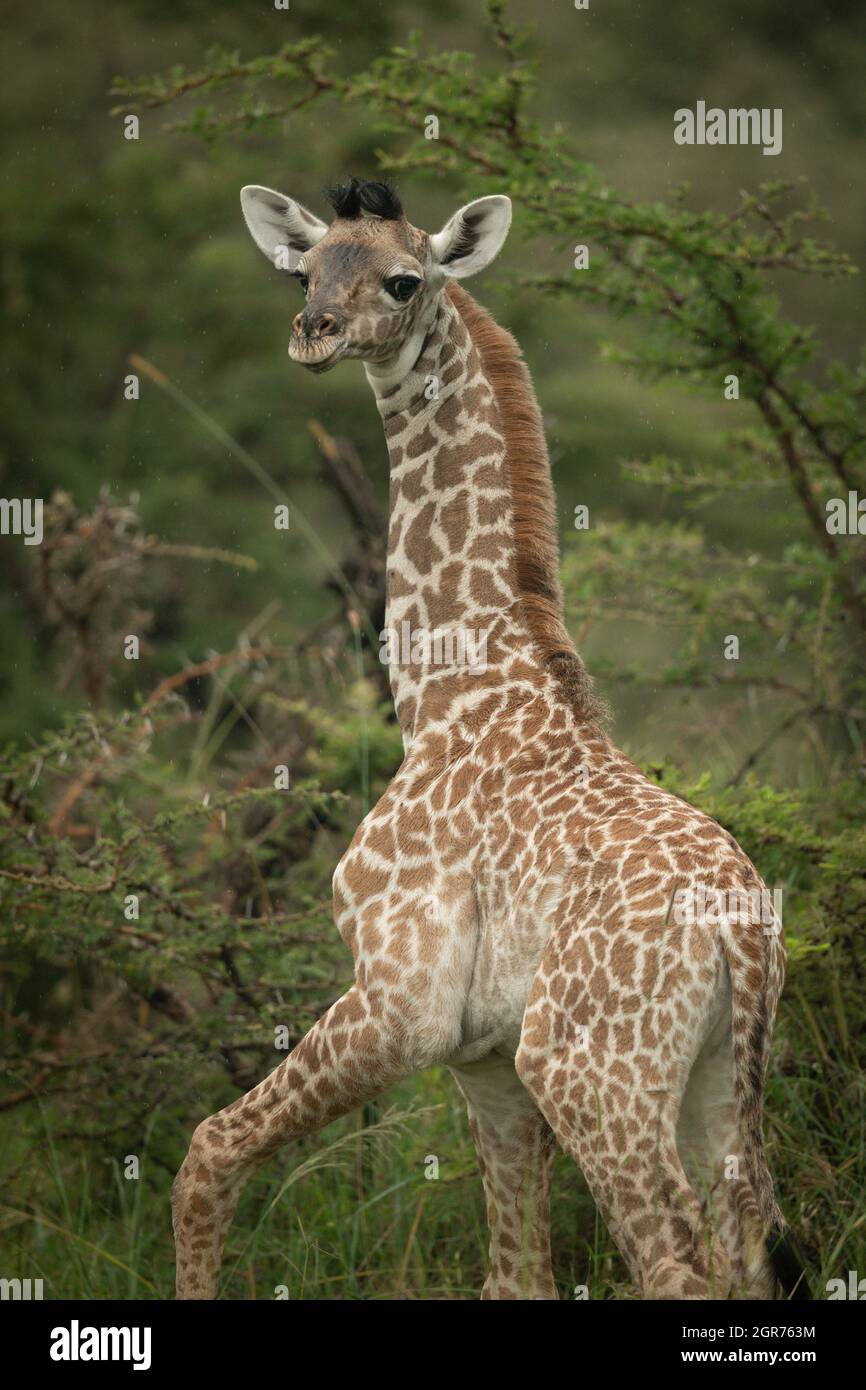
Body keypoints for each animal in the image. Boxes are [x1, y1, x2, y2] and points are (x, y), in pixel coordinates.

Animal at [171, 176, 808, 1301]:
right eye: (305, 269)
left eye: (402, 279)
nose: (313, 331)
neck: (450, 695)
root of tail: (742, 930)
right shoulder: (481, 1059)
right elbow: (515, 1276)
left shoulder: (399, 1002)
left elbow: (209, 1147)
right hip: (713, 1085)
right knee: (738, 1251)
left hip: (590, 1068)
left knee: (675, 1263)